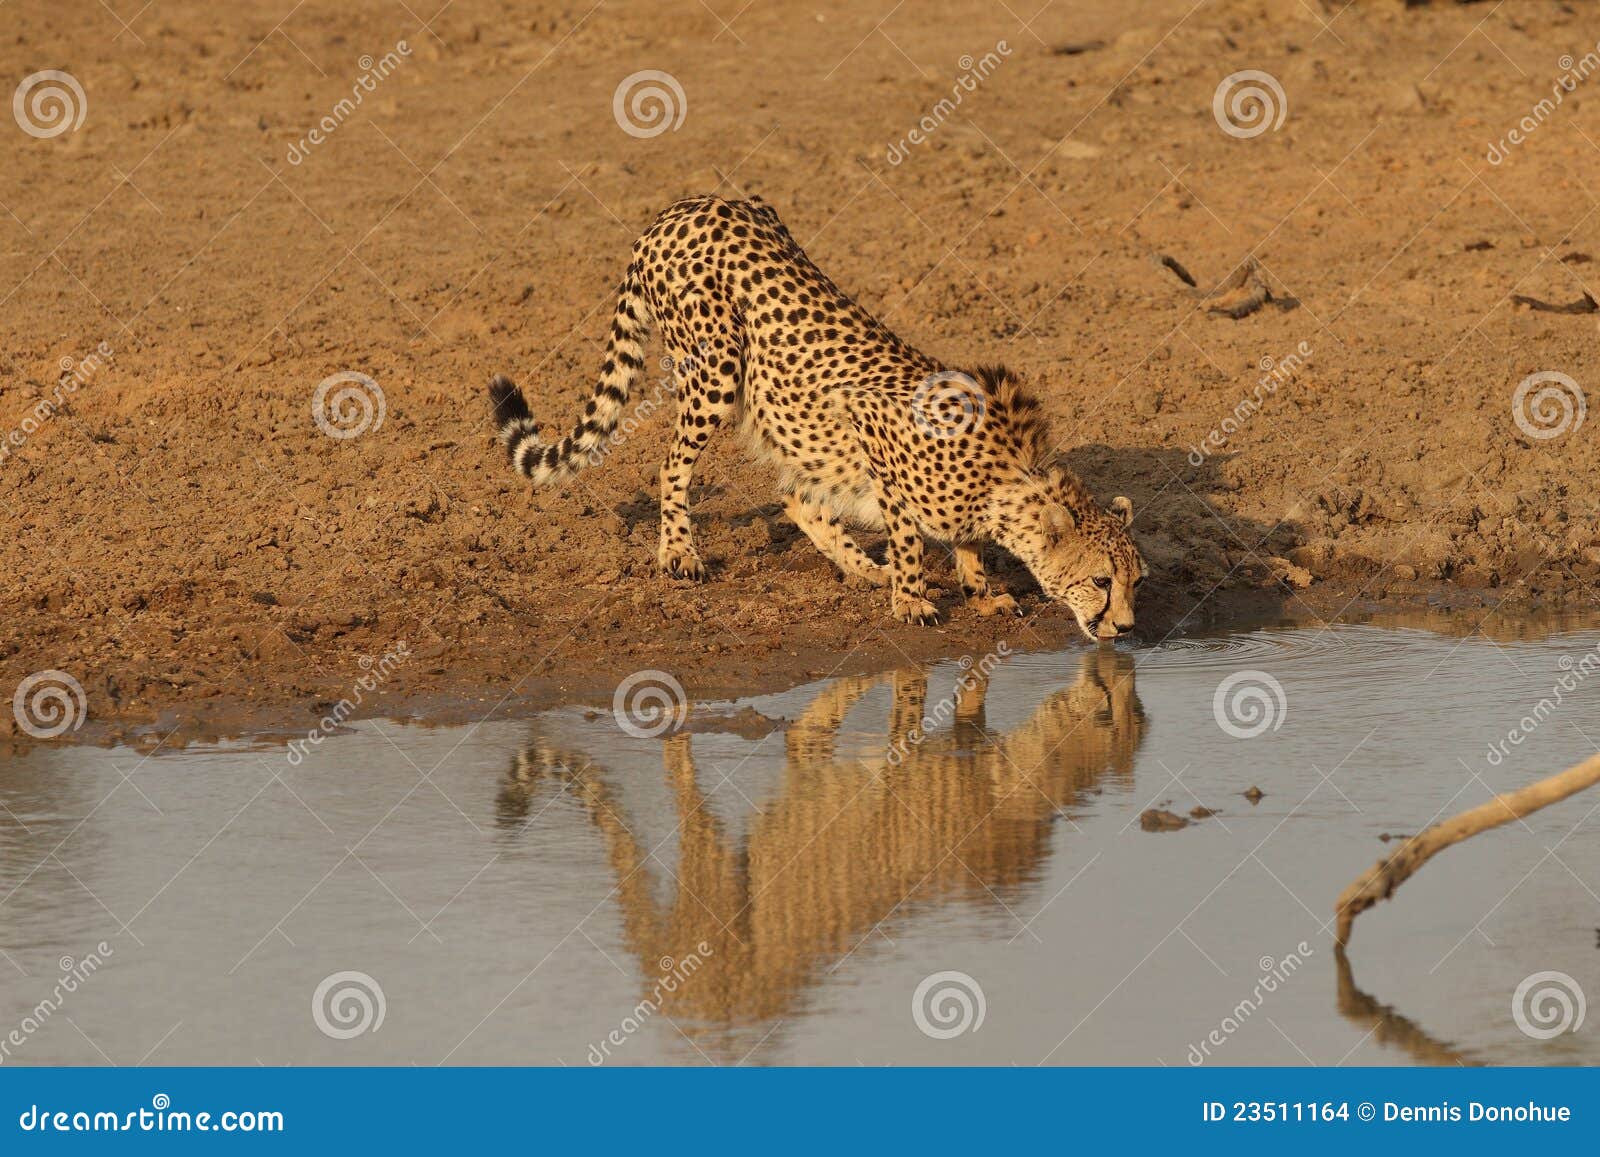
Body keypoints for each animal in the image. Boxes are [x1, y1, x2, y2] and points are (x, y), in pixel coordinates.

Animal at [488, 194, 1145, 641]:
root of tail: (678, 209)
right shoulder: (871, 424)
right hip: (717, 366)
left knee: (795, 497)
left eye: (1135, 581)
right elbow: (908, 532)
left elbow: (957, 540)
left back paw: (863, 568)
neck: (1004, 475)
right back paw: (680, 553)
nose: (1128, 628)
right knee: (674, 465)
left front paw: (978, 591)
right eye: (1100, 581)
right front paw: (913, 598)